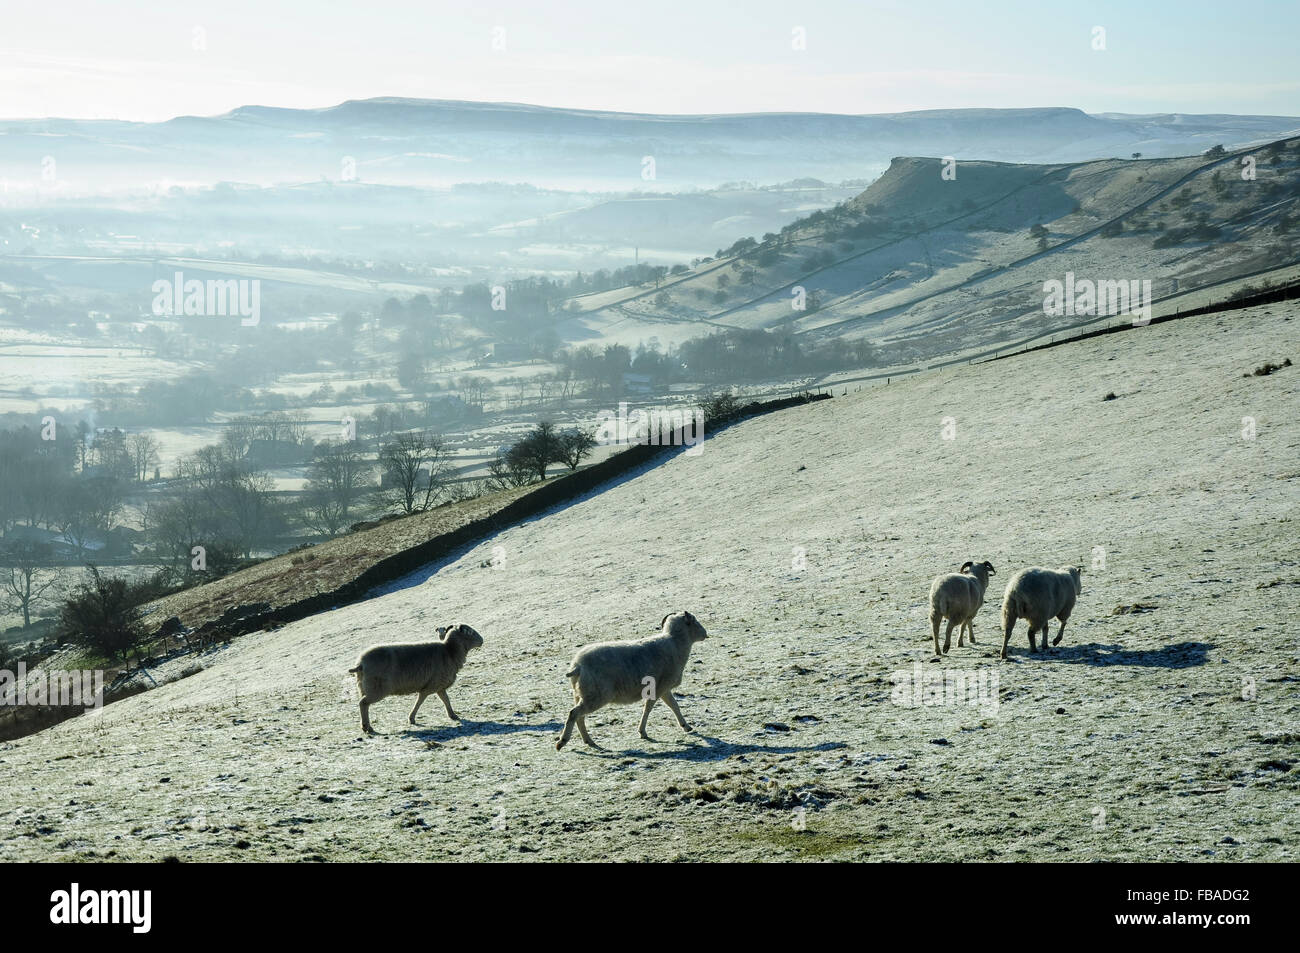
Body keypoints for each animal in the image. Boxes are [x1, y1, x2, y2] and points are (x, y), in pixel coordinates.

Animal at [348, 623, 483, 734]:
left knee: (364, 704)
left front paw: (453, 715)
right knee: (363, 703)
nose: (482, 640)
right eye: (469, 631)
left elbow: (446, 700)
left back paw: (367, 727)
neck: (450, 651)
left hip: (363, 687)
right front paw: (411, 718)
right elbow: (420, 701)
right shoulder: (431, 686)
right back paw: (367, 727)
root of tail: (360, 664)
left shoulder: (439, 686)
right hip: (377, 689)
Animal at [556, 610, 708, 751]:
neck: (675, 642)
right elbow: (649, 708)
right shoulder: (660, 687)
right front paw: (642, 732)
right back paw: (562, 742)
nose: (705, 633)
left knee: (579, 717)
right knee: (574, 713)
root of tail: (577, 666)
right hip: (596, 695)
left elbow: (674, 706)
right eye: (695, 621)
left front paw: (686, 726)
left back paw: (588, 741)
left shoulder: (664, 689)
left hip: (581, 694)